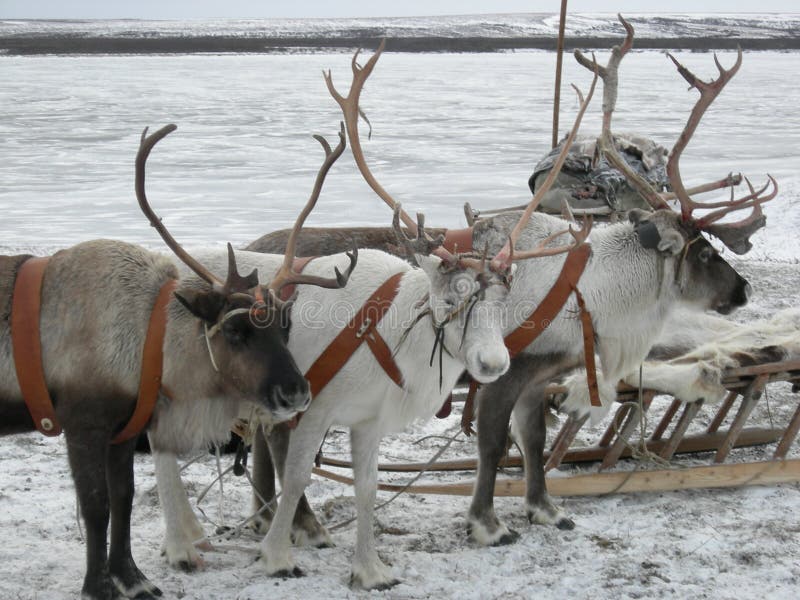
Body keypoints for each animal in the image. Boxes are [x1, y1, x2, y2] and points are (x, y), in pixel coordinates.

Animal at [0, 120, 354, 600]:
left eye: (285, 325)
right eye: (235, 331)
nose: (296, 392)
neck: (149, 341)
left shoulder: (125, 428)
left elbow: (124, 500)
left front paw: (133, 579)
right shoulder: (83, 422)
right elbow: (95, 506)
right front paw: (98, 586)